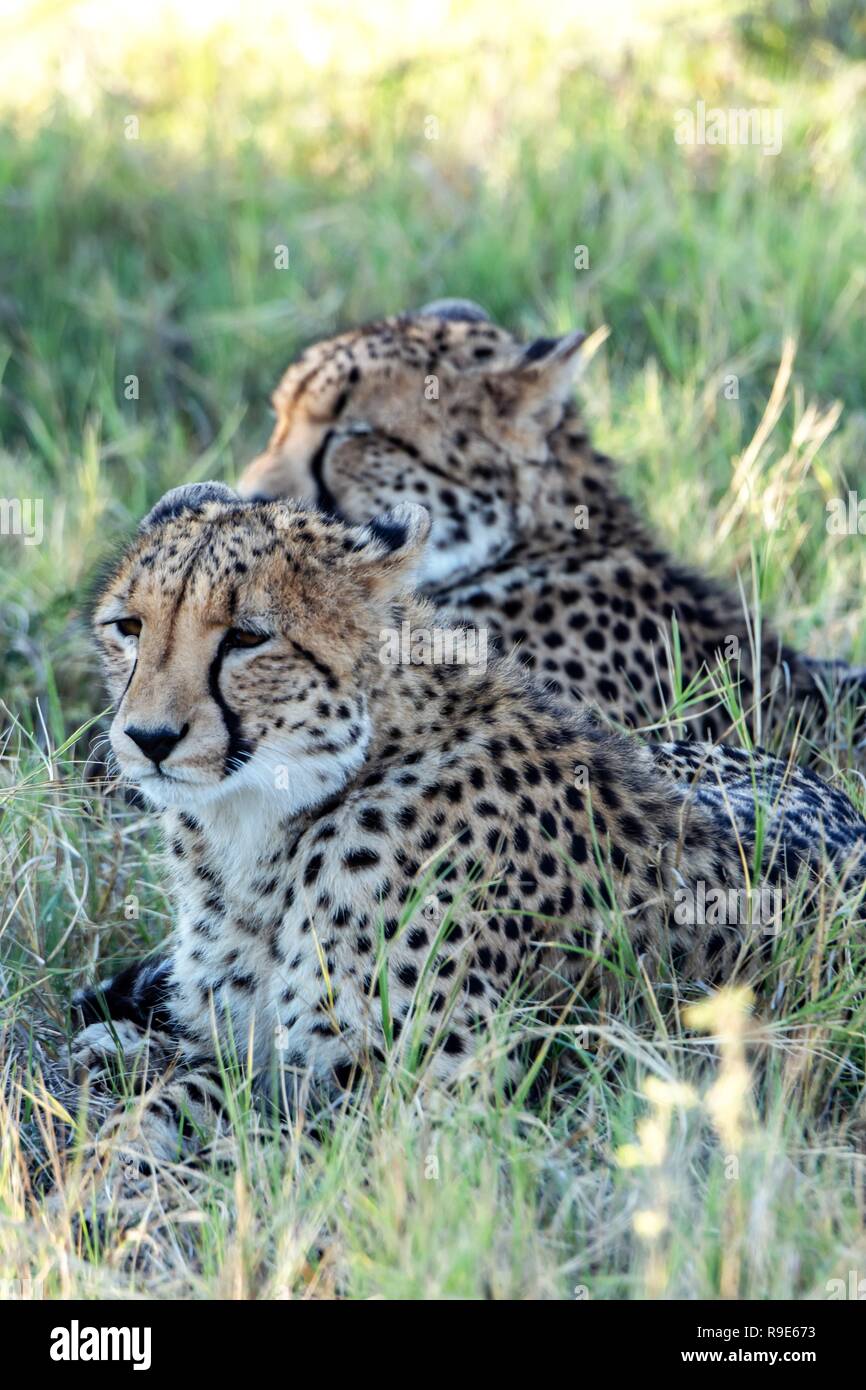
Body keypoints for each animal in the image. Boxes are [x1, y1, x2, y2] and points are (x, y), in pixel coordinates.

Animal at [71, 480, 866, 1167]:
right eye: (128, 627)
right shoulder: (249, 1056)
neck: (268, 820)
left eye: (245, 637)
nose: (147, 738)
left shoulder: (442, 1105)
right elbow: (172, 1102)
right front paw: (110, 1172)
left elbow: (273, 1158)